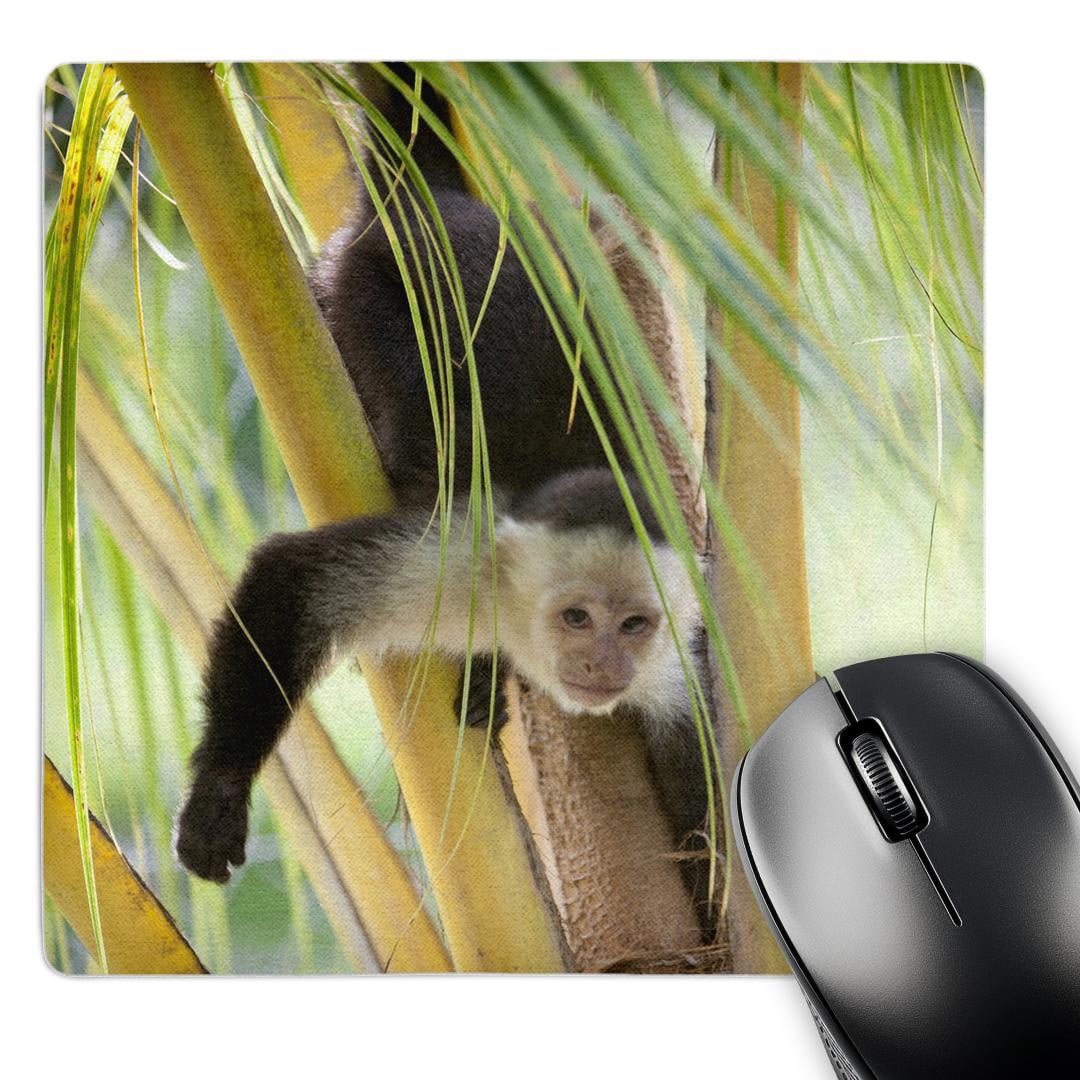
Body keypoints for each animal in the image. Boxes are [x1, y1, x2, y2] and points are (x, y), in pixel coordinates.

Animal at [175, 63, 718, 933]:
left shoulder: (671, 651)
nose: (602, 662)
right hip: (357, 288)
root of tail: (435, 203)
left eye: (633, 625)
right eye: (577, 617)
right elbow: (292, 581)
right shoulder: (456, 560)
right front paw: (219, 796)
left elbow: (698, 771)